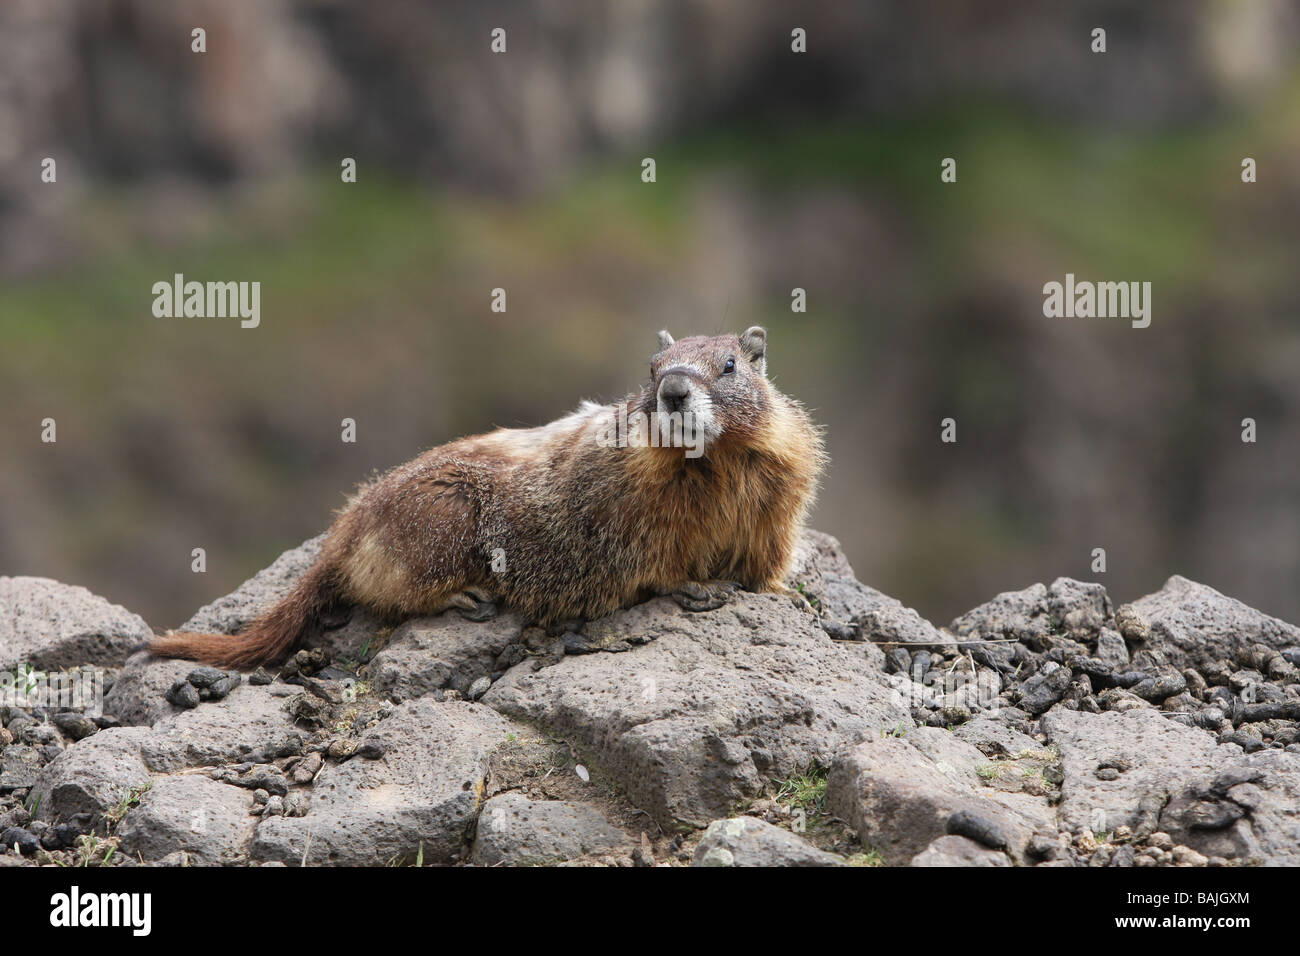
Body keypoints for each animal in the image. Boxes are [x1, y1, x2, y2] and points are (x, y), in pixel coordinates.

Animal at [148, 326, 826, 668]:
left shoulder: (782, 482)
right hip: (440, 515)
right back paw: (461, 595)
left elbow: (770, 545)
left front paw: (782, 589)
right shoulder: (633, 502)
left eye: (731, 364)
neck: (714, 459)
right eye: (653, 367)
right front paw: (694, 584)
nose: (673, 392)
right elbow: (648, 551)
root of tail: (346, 525)